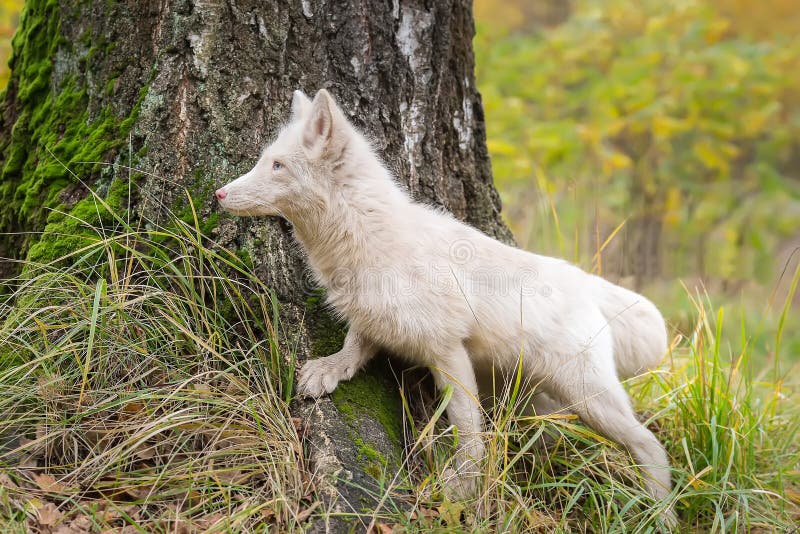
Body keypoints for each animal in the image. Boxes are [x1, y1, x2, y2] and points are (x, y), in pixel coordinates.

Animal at [216, 89, 674, 524]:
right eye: (263, 160)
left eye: (277, 166)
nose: (219, 194)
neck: (367, 239)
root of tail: (585, 281)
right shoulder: (375, 318)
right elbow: (355, 345)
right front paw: (331, 368)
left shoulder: (448, 350)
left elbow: (468, 429)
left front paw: (462, 487)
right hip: (536, 394)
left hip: (587, 395)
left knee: (649, 445)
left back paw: (662, 513)